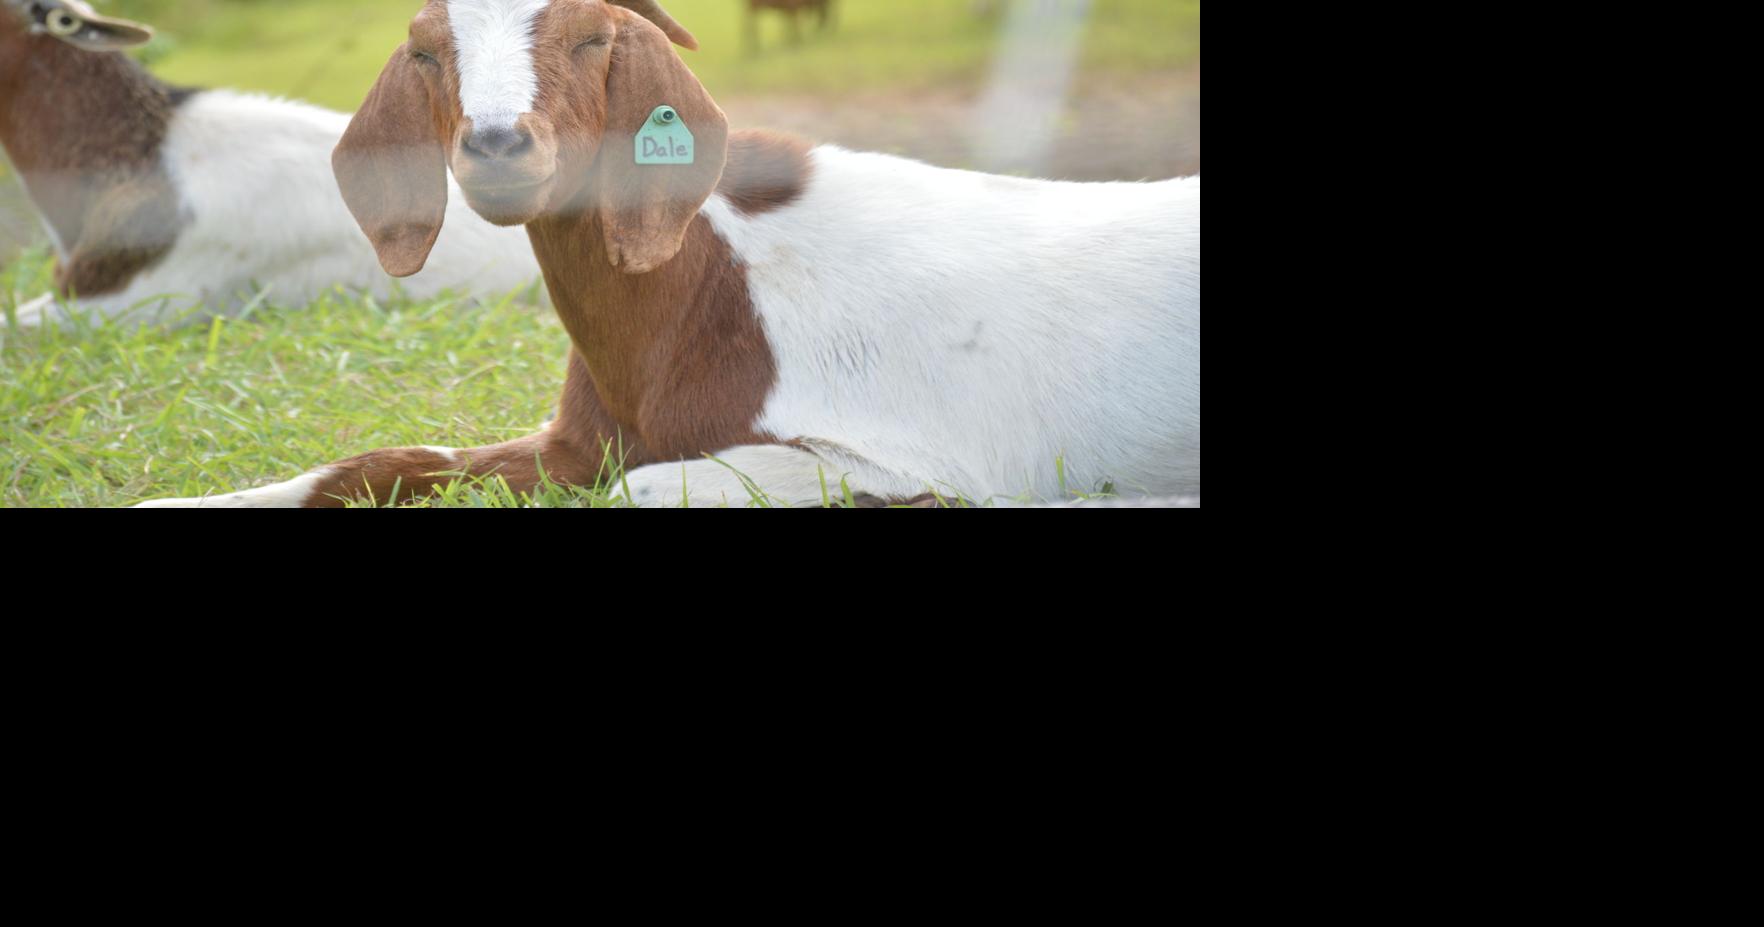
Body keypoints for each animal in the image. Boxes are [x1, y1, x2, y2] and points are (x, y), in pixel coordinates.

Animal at [134, 0, 1199, 508]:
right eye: (427, 51)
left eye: (595, 37)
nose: (497, 147)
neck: (713, 293)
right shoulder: (576, 446)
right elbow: (365, 464)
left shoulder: (917, 461)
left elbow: (644, 488)